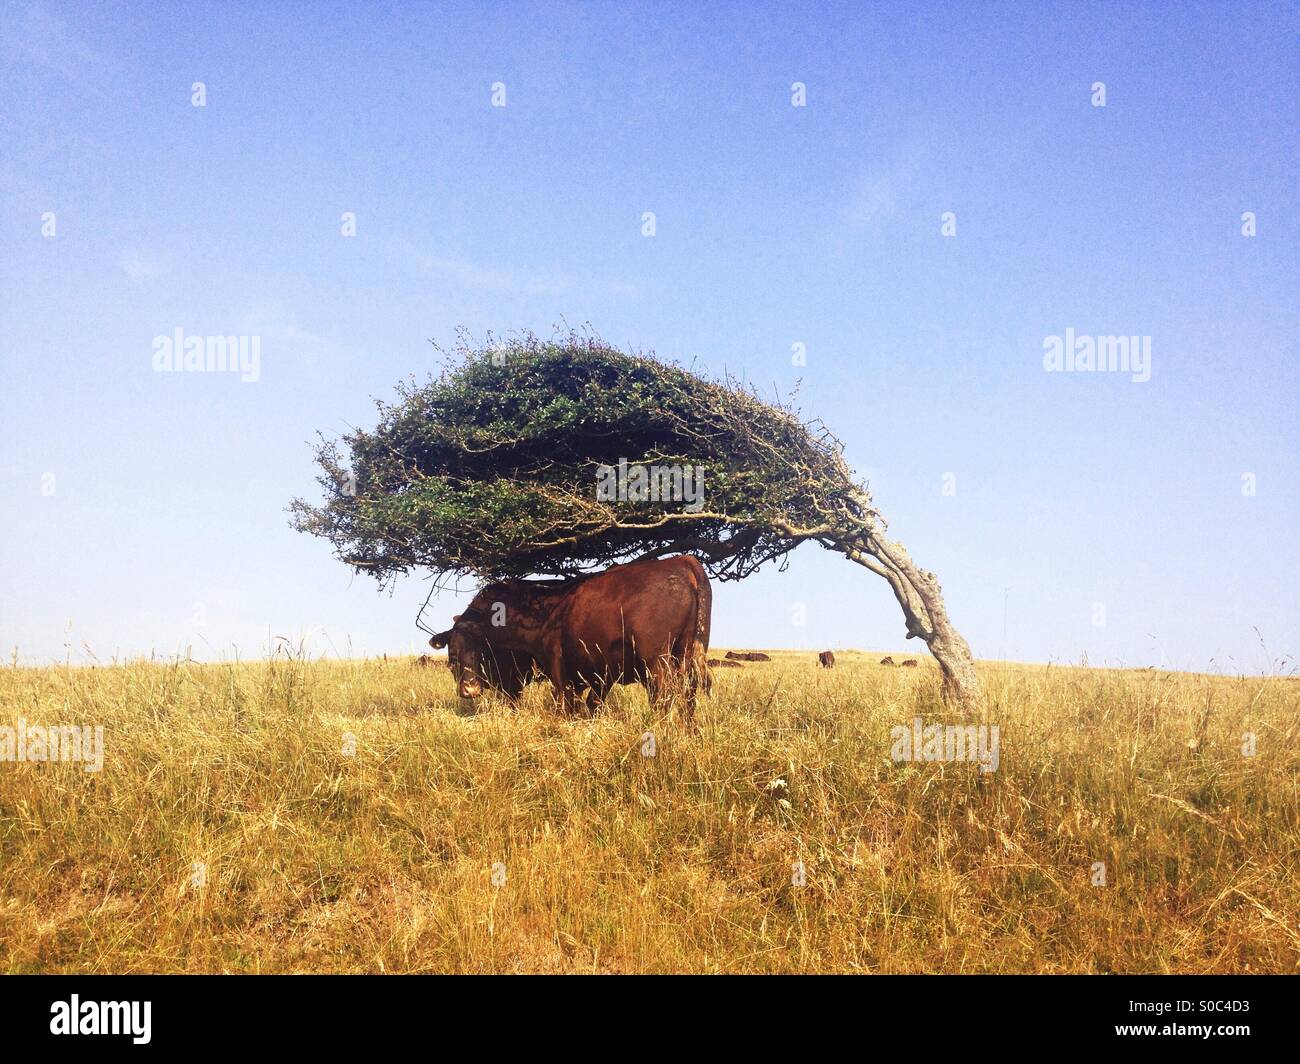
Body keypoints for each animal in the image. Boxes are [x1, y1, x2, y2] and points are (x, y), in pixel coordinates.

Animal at [429, 555, 711, 721]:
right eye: (452, 655)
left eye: (481, 649)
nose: (469, 689)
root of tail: (683, 561)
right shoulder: (595, 674)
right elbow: (591, 703)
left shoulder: (555, 666)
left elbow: (563, 704)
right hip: (689, 656)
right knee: (688, 698)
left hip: (658, 662)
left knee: (663, 697)